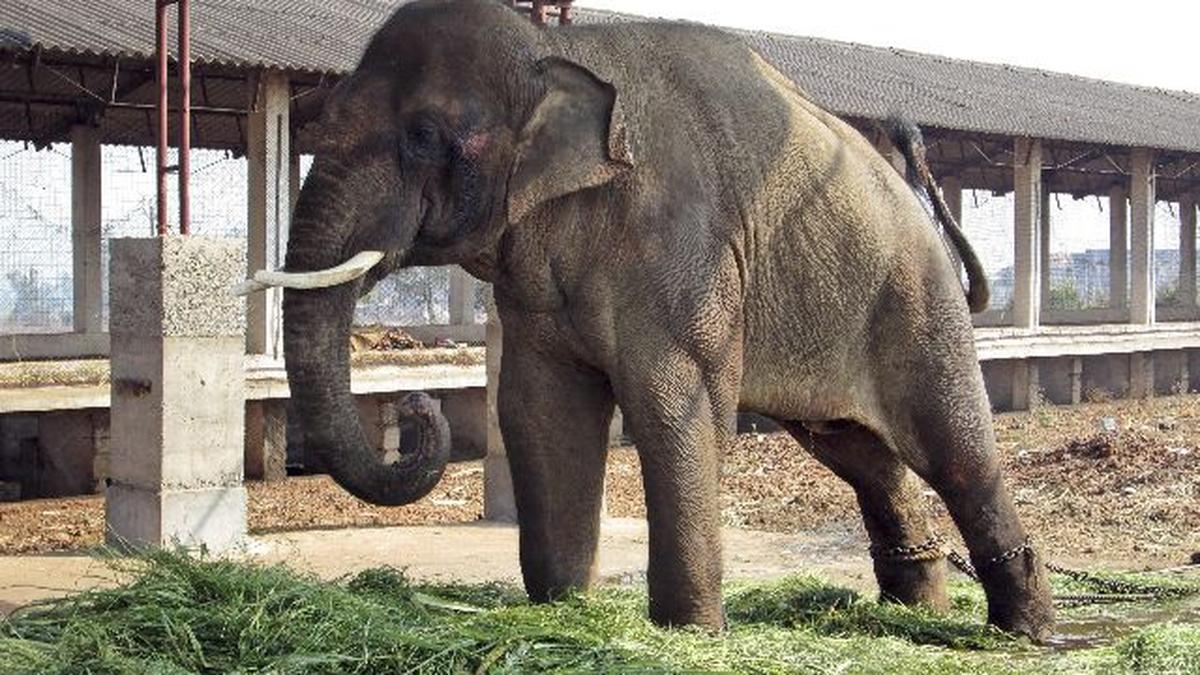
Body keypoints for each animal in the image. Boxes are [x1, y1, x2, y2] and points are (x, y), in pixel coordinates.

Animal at [244, 0, 1054, 640]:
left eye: (422, 136)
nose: (416, 408)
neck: (559, 53)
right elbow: (539, 411)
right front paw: (563, 608)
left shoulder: (683, 253)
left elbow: (675, 407)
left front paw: (690, 633)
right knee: (863, 458)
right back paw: (918, 611)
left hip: (915, 303)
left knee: (956, 452)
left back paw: (1026, 631)